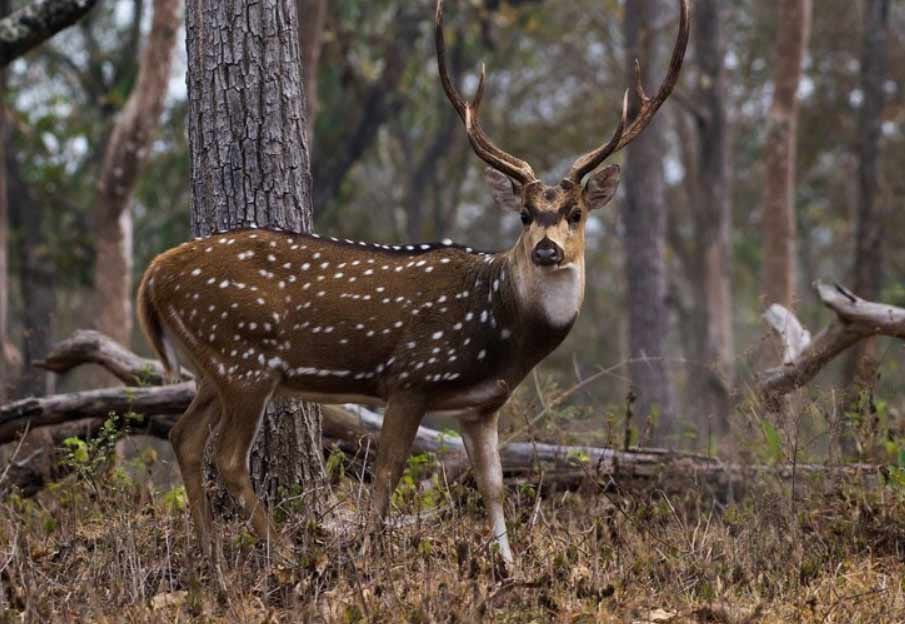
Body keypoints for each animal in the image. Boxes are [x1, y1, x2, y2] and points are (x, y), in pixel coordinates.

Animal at [136, 0, 689, 565]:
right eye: (525, 215)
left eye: (576, 213)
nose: (546, 250)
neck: (503, 332)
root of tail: (154, 273)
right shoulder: (411, 376)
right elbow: (386, 473)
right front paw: (366, 551)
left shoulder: (480, 406)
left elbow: (492, 484)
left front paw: (509, 564)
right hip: (245, 358)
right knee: (226, 455)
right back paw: (281, 553)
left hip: (214, 366)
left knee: (183, 437)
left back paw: (211, 554)